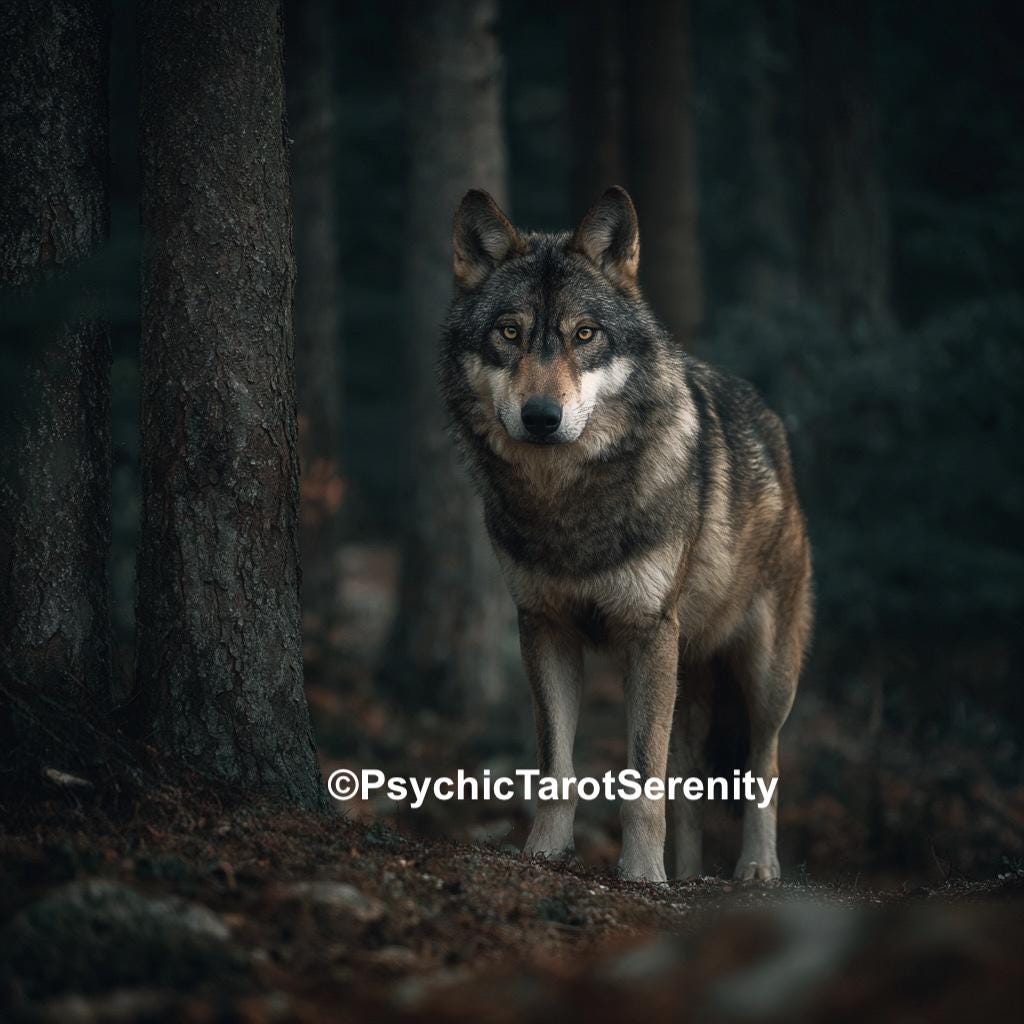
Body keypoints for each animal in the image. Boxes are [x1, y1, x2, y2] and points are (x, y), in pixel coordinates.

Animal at [440, 187, 812, 883]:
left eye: (585, 334)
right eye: (510, 332)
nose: (541, 416)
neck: (566, 505)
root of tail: (776, 431)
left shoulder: (646, 633)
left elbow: (642, 782)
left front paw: (640, 875)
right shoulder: (545, 627)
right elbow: (557, 768)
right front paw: (544, 854)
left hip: (765, 675)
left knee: (764, 764)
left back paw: (756, 868)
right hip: (689, 680)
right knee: (690, 785)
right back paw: (690, 875)